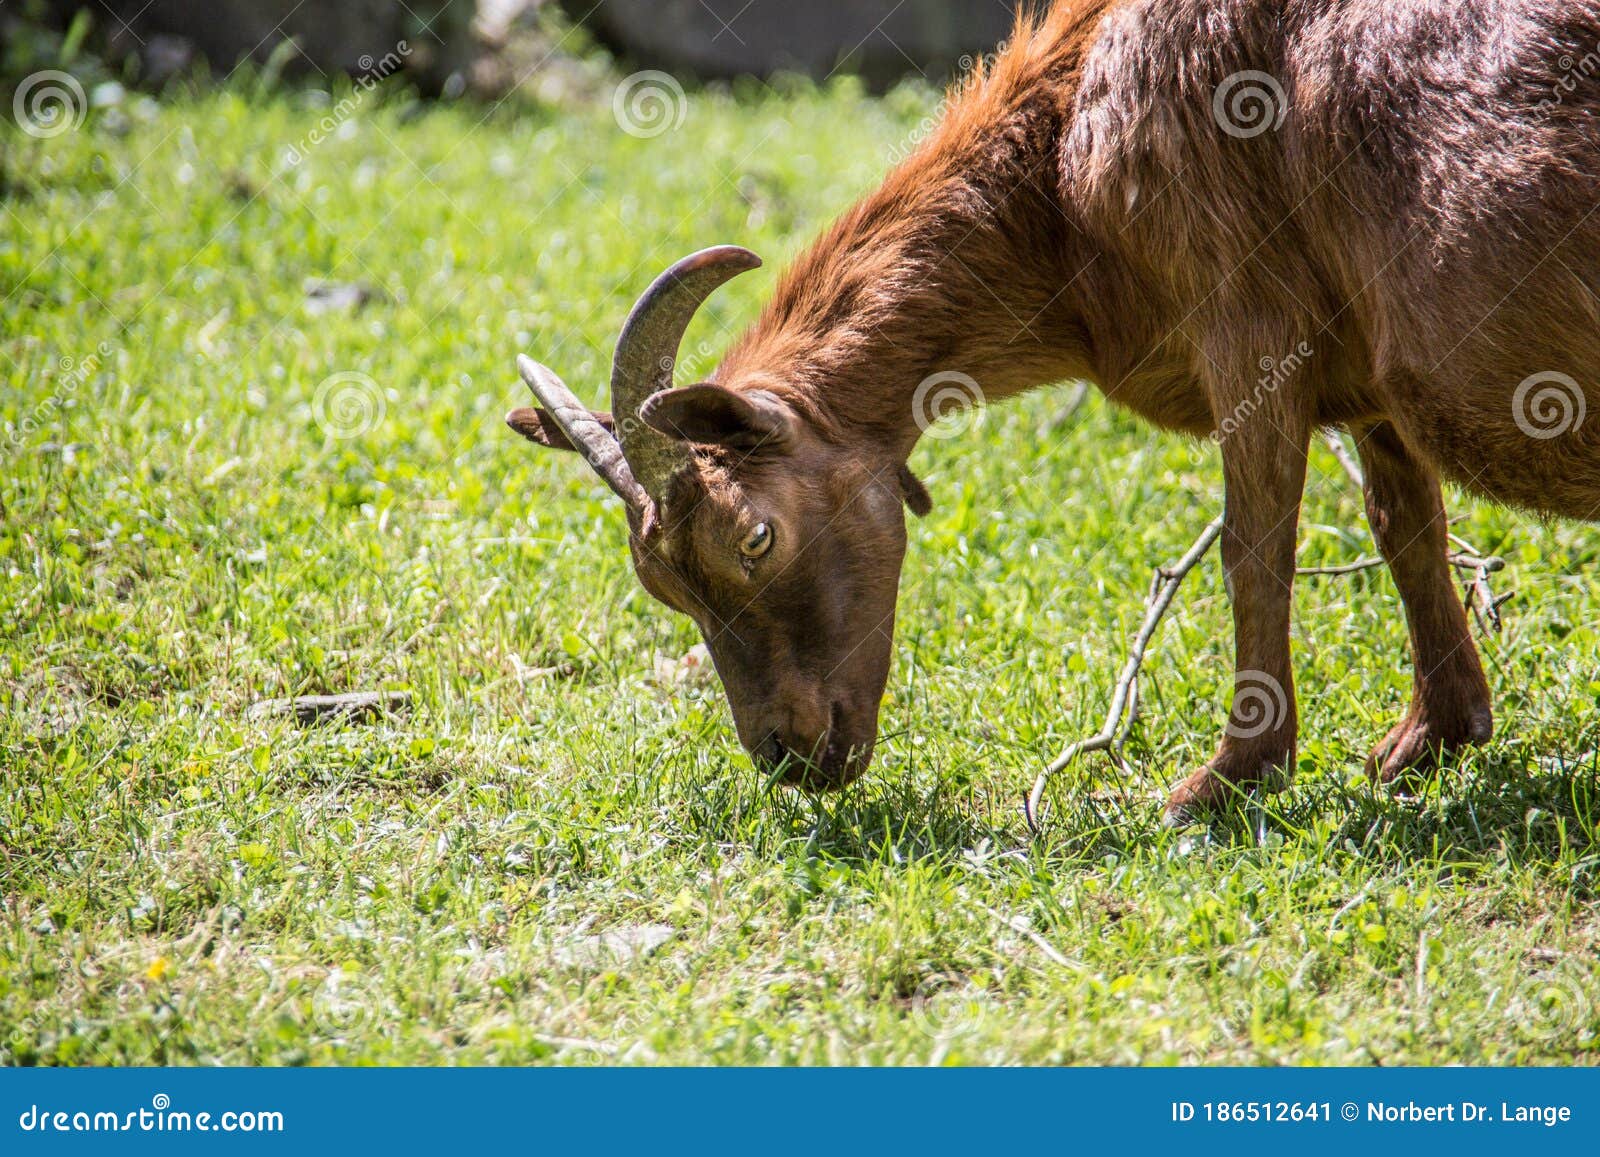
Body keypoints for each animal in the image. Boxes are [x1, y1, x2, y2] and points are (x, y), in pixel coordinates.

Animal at [508, 0, 1600, 822]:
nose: (793, 753)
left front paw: (1221, 779)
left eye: (755, 537)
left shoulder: (1248, 326)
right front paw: (1428, 738)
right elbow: (1403, 524)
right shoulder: (1365, 376)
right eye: (661, 587)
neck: (1062, 165)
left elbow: (1255, 547)